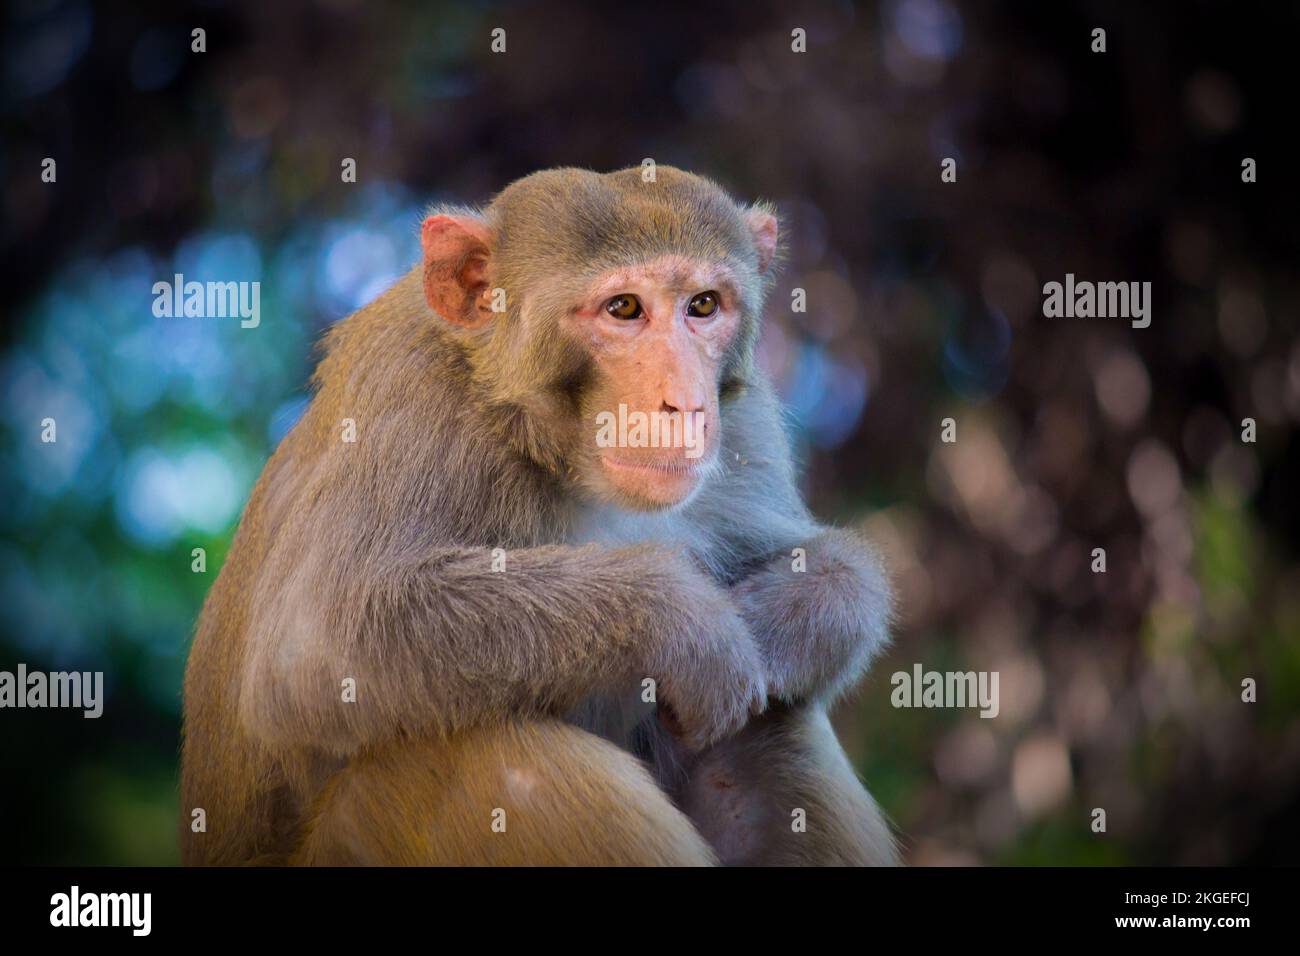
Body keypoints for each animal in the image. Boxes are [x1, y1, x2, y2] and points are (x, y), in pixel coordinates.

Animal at [180, 164, 894, 868]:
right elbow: (317, 642)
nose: (686, 405)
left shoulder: (745, 418)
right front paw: (690, 626)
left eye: (703, 306)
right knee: (504, 753)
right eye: (624, 308)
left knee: (775, 725)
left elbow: (820, 562)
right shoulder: (406, 392)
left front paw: (775, 625)